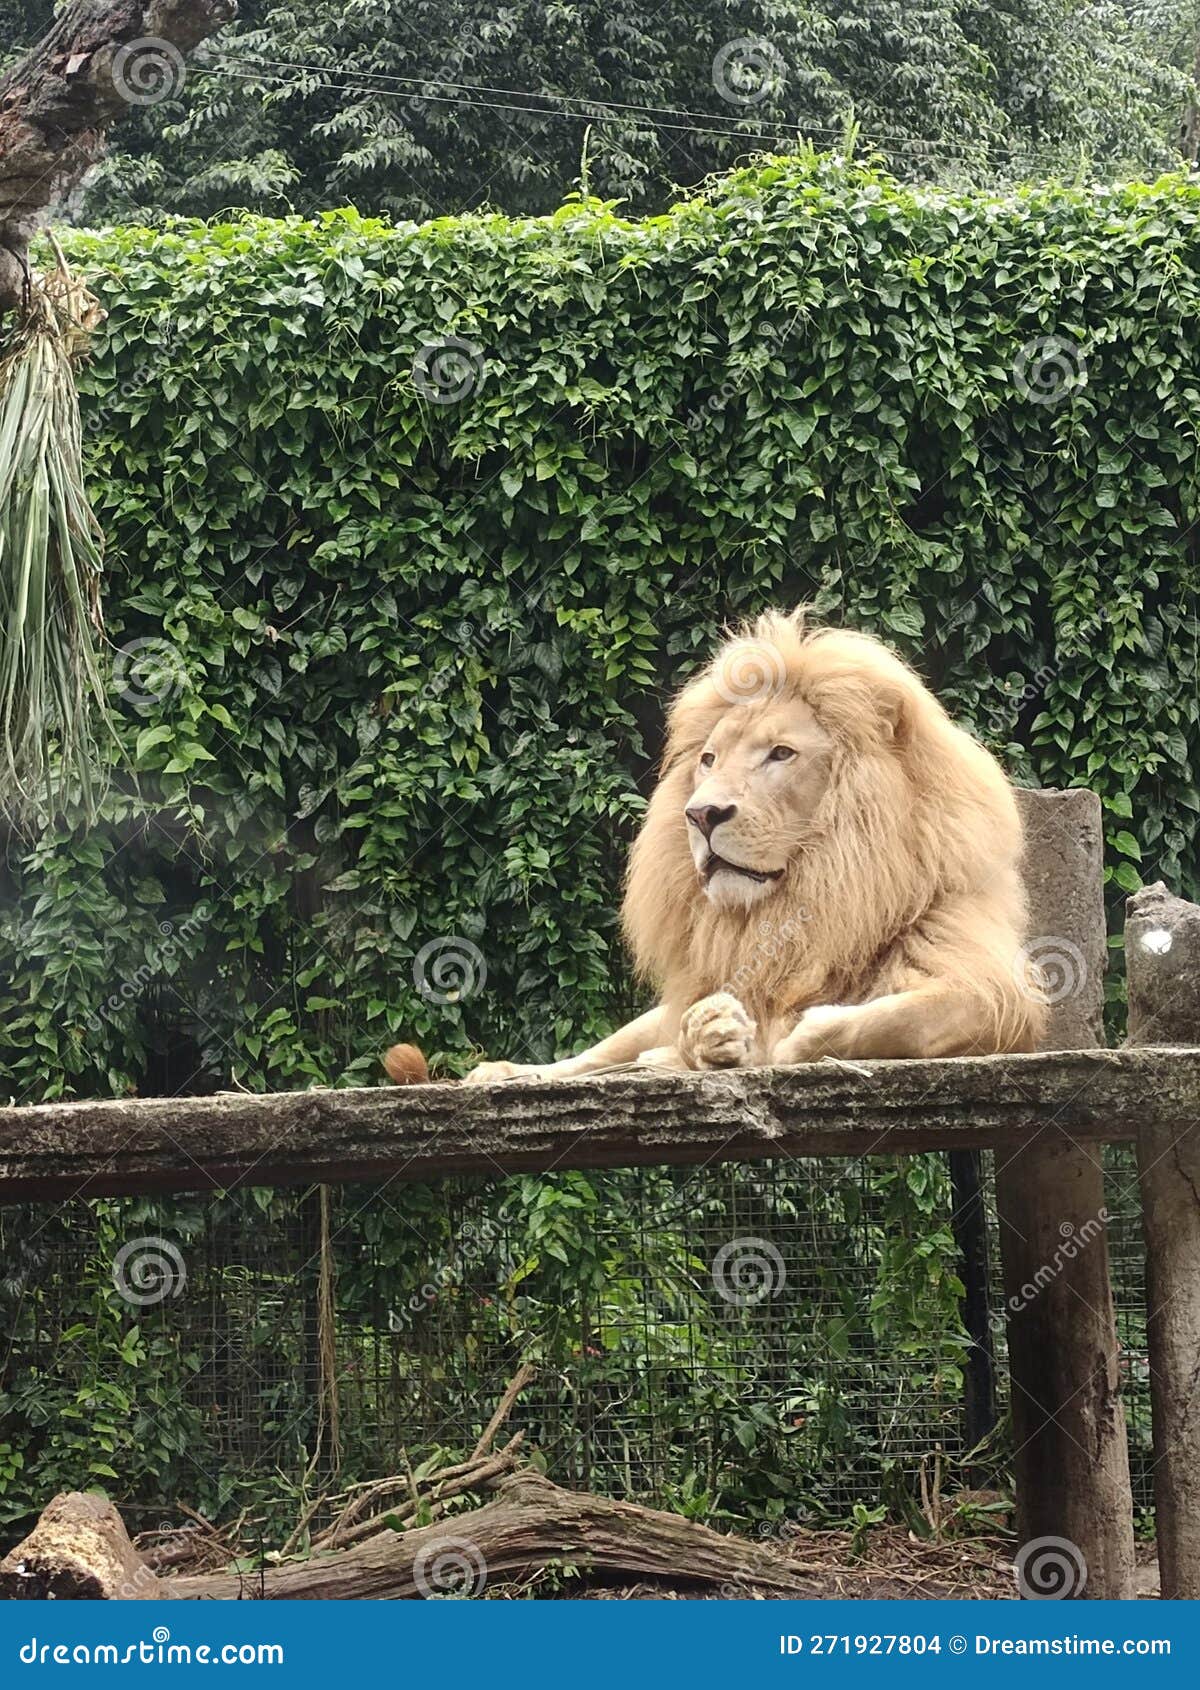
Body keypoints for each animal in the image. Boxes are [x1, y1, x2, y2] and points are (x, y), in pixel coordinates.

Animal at [411, 608, 1045, 1084]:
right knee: (596, 1055)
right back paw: (503, 1072)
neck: (820, 891)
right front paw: (714, 1038)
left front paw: (788, 1040)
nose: (700, 814)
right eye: (709, 760)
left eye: (781, 754)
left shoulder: (1001, 999)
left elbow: (898, 1017)